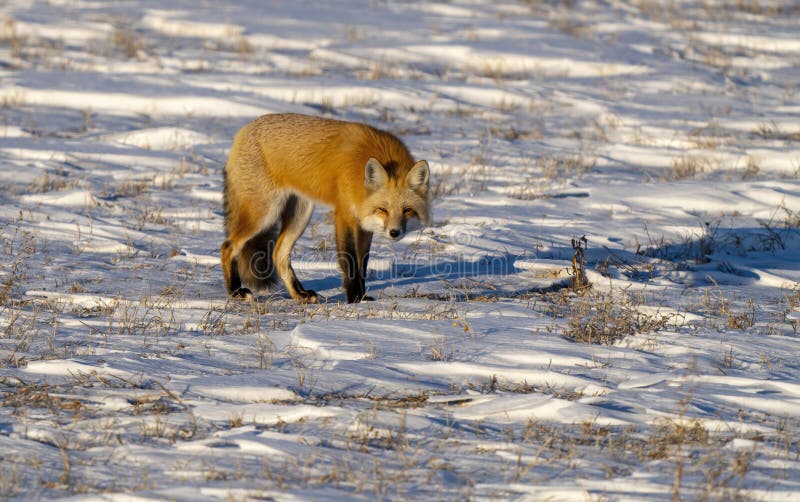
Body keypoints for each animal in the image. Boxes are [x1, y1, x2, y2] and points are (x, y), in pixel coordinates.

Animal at [221, 113, 431, 303]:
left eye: (407, 210)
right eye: (383, 209)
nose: (395, 232)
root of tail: (244, 130)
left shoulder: (364, 224)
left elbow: (362, 264)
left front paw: (363, 297)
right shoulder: (345, 215)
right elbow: (350, 261)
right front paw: (355, 299)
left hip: (301, 214)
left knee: (278, 254)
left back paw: (300, 295)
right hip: (265, 213)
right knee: (228, 247)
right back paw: (236, 292)